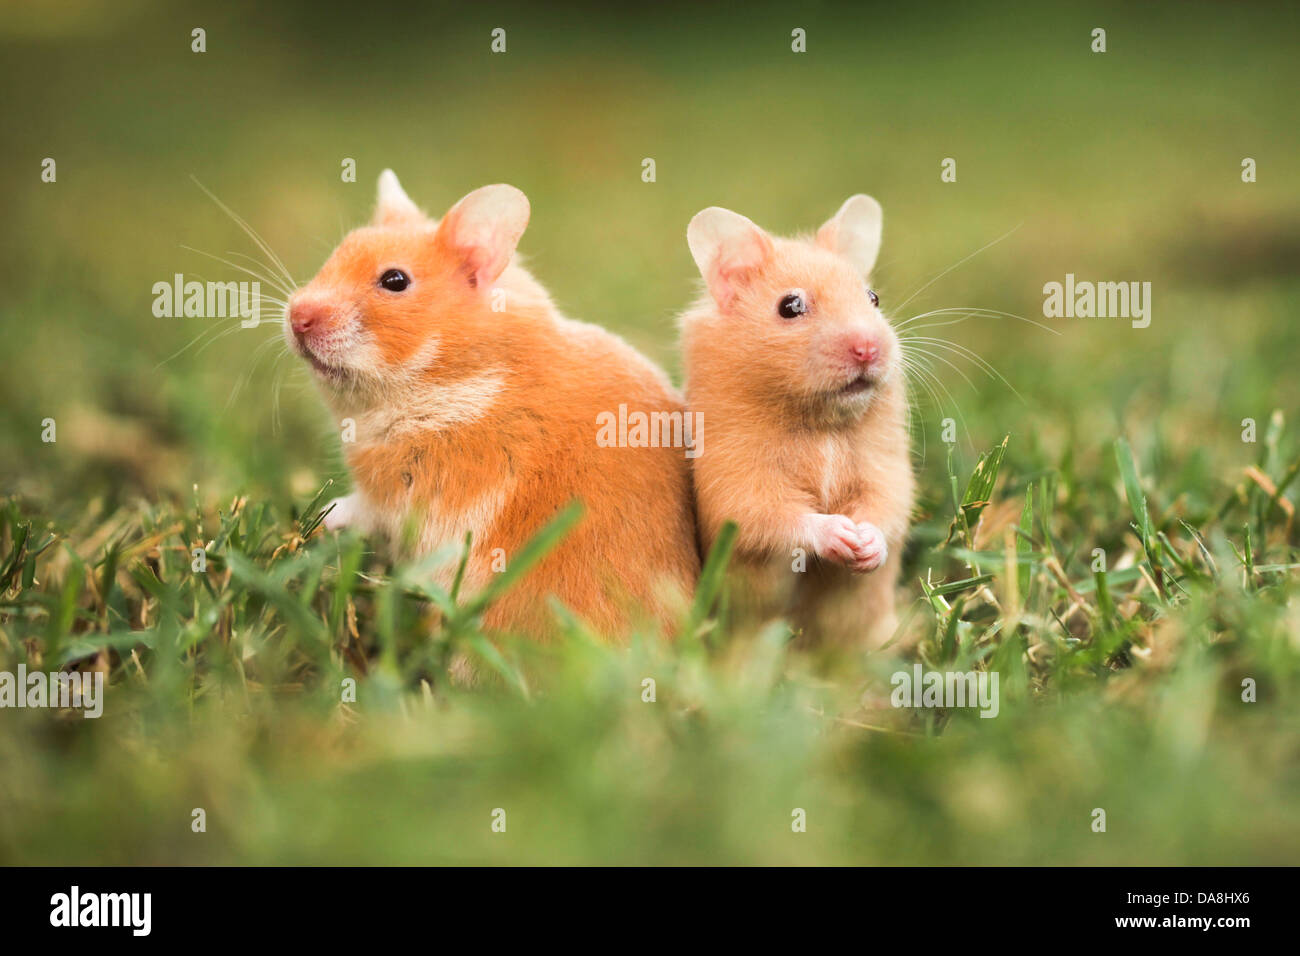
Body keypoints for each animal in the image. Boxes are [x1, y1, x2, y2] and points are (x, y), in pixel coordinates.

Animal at [286, 170, 699, 639]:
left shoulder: (404, 496)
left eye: (395, 281)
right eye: (337, 253)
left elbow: (361, 509)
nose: (296, 317)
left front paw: (322, 518)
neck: (456, 377)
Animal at [679, 196, 913, 648]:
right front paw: (842, 535)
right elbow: (777, 518)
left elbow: (887, 507)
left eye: (873, 297)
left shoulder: (885, 468)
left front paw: (865, 545)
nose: (868, 348)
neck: (820, 422)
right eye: (790, 306)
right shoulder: (738, 484)